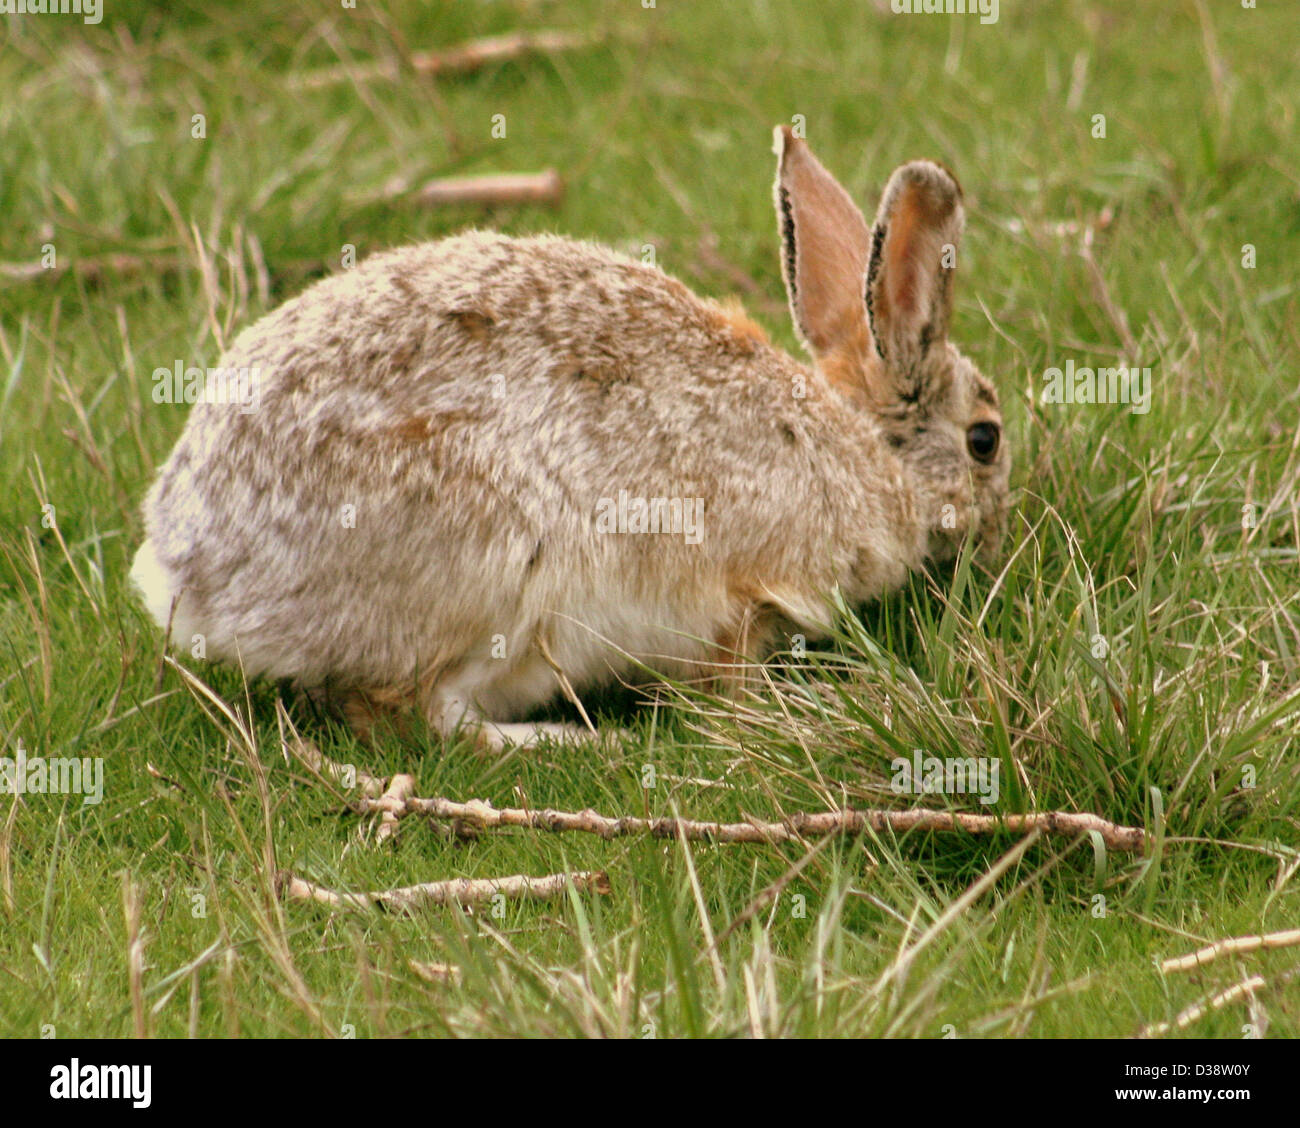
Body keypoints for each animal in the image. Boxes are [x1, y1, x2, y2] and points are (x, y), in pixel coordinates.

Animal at [130, 126, 1010, 750]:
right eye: (985, 440)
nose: (998, 535)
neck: (864, 451)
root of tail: (192, 569)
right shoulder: (745, 596)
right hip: (497, 579)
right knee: (420, 719)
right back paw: (579, 741)